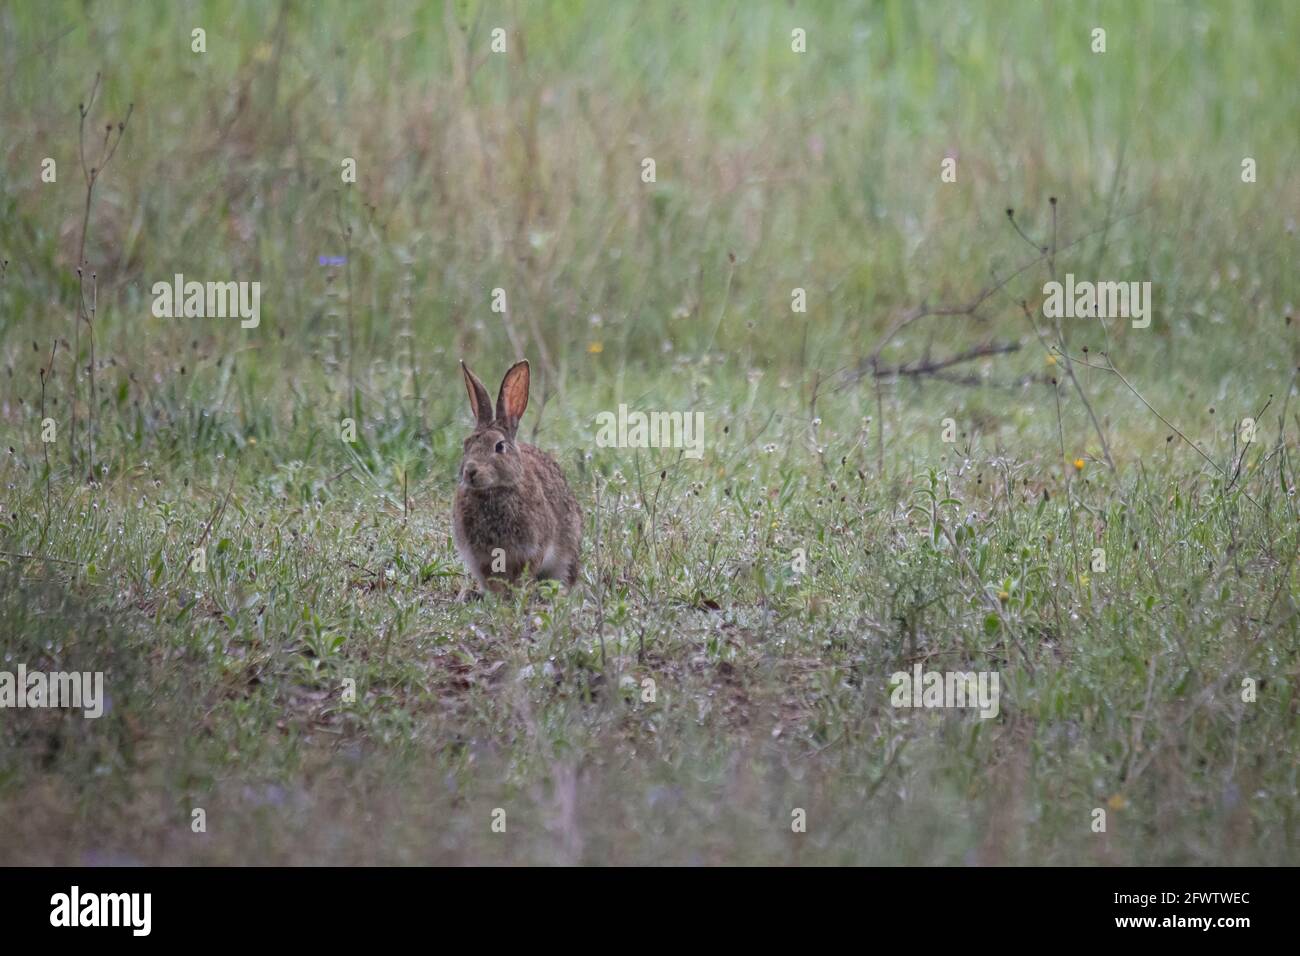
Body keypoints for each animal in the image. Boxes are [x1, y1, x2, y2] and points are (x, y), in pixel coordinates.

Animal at [453, 359, 582, 597]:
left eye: (499, 446)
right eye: (466, 444)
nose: (471, 471)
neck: (494, 492)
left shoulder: (532, 550)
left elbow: (524, 574)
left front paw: (518, 594)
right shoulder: (480, 557)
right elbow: (491, 578)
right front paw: (497, 597)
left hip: (567, 555)